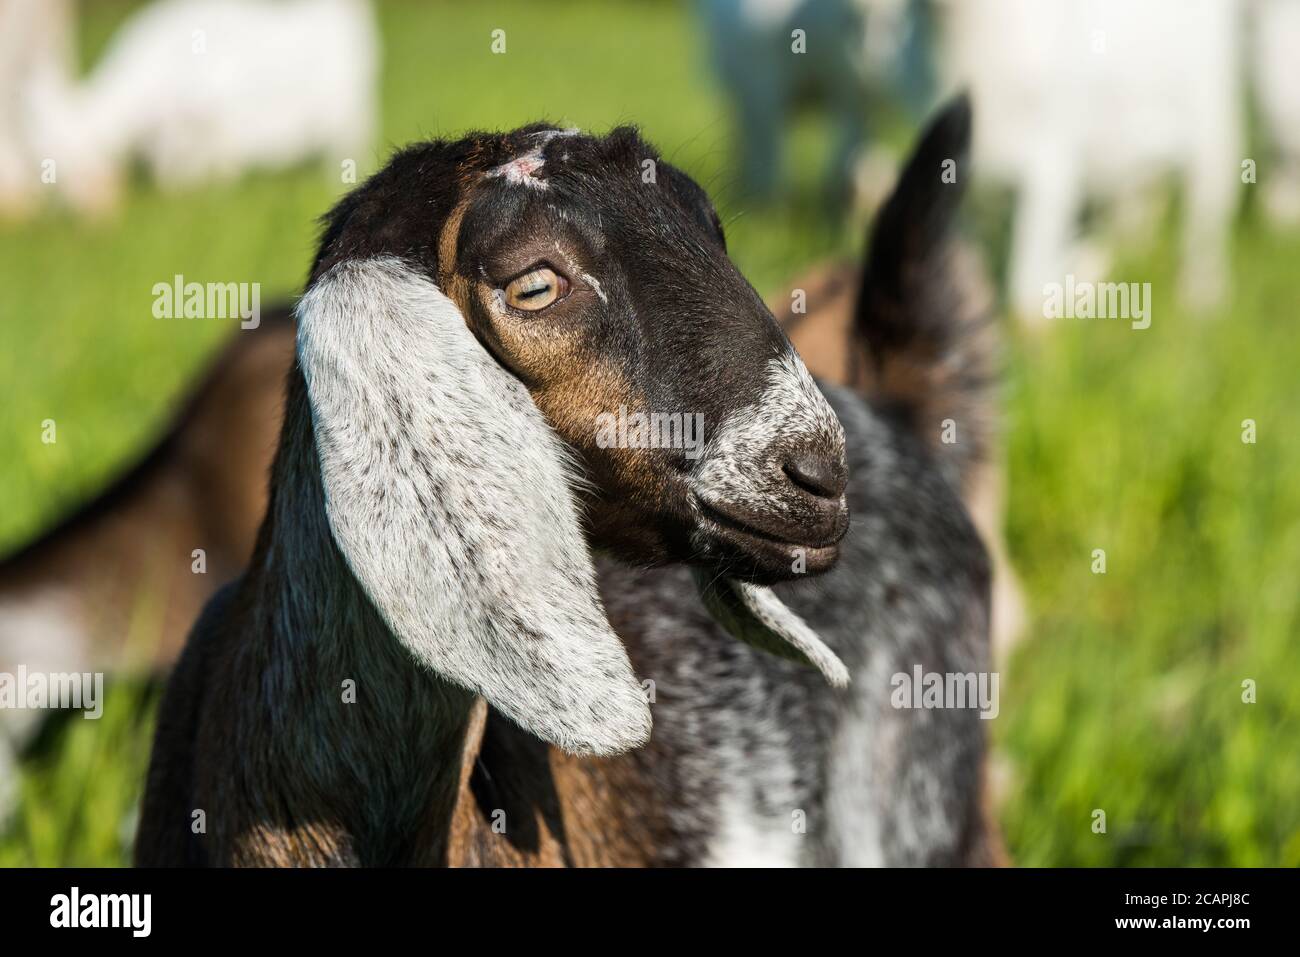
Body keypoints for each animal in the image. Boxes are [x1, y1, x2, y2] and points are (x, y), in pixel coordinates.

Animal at [22, 0, 378, 214]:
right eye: (41, 154)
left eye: (63, 150)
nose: (91, 213)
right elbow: (171, 179)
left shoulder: (215, 129)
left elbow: (208, 176)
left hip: (349, 113)